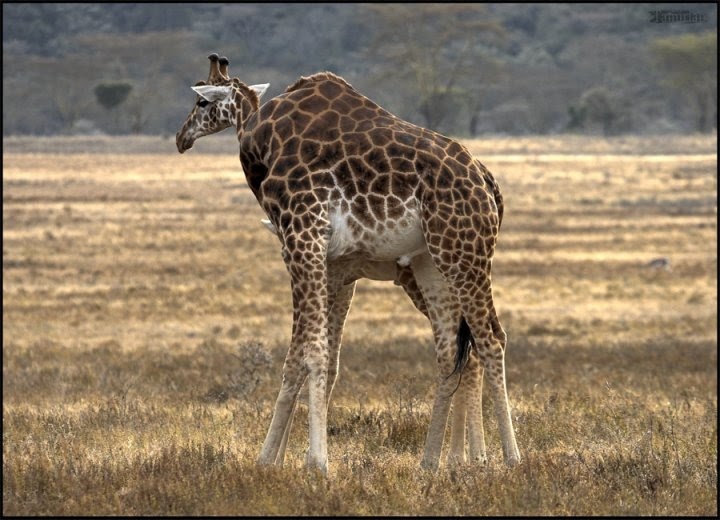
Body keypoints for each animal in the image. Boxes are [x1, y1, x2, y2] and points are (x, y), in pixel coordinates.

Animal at [176, 54, 521, 474]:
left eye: (201, 102)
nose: (181, 138)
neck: (264, 140)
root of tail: (489, 184)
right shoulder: (337, 267)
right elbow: (317, 357)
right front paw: (278, 459)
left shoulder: (302, 239)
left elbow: (309, 352)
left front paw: (309, 461)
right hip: (432, 264)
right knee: (453, 349)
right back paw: (436, 462)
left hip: (462, 252)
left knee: (489, 340)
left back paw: (503, 459)